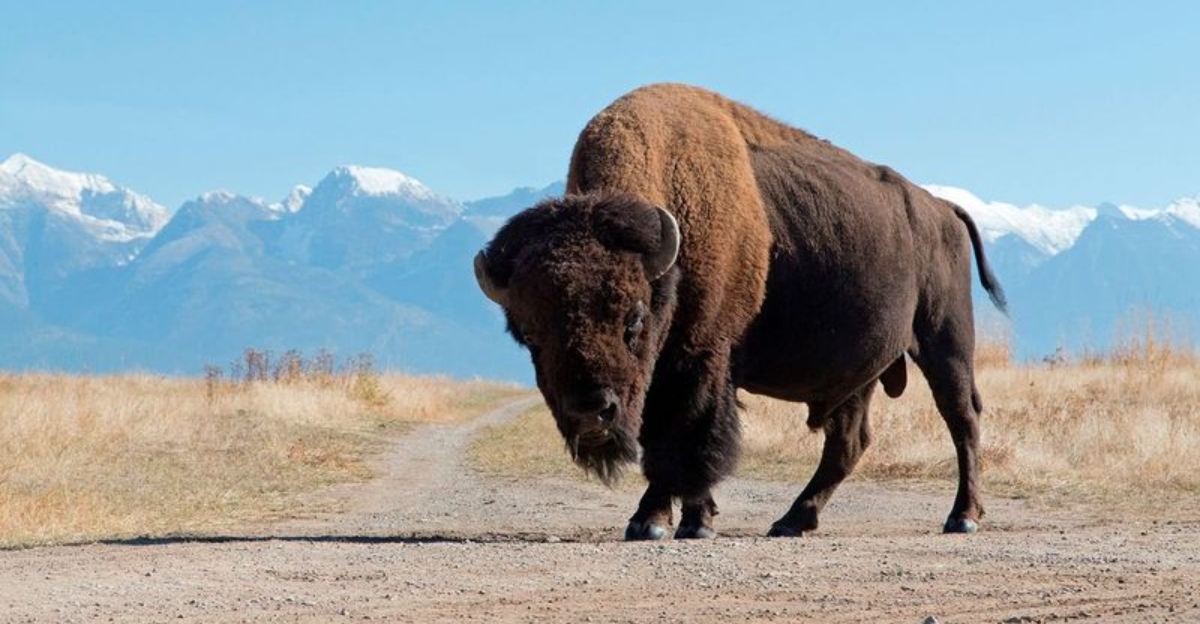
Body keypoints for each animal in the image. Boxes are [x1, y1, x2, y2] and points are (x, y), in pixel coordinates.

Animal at [474, 83, 1006, 540]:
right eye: (529, 334)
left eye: (634, 319)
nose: (590, 412)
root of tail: (942, 208)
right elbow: (664, 439)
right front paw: (671, 518)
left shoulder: (700, 359)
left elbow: (686, 436)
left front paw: (672, 522)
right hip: (863, 371)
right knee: (848, 441)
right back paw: (793, 520)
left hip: (944, 341)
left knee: (962, 417)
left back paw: (962, 517)